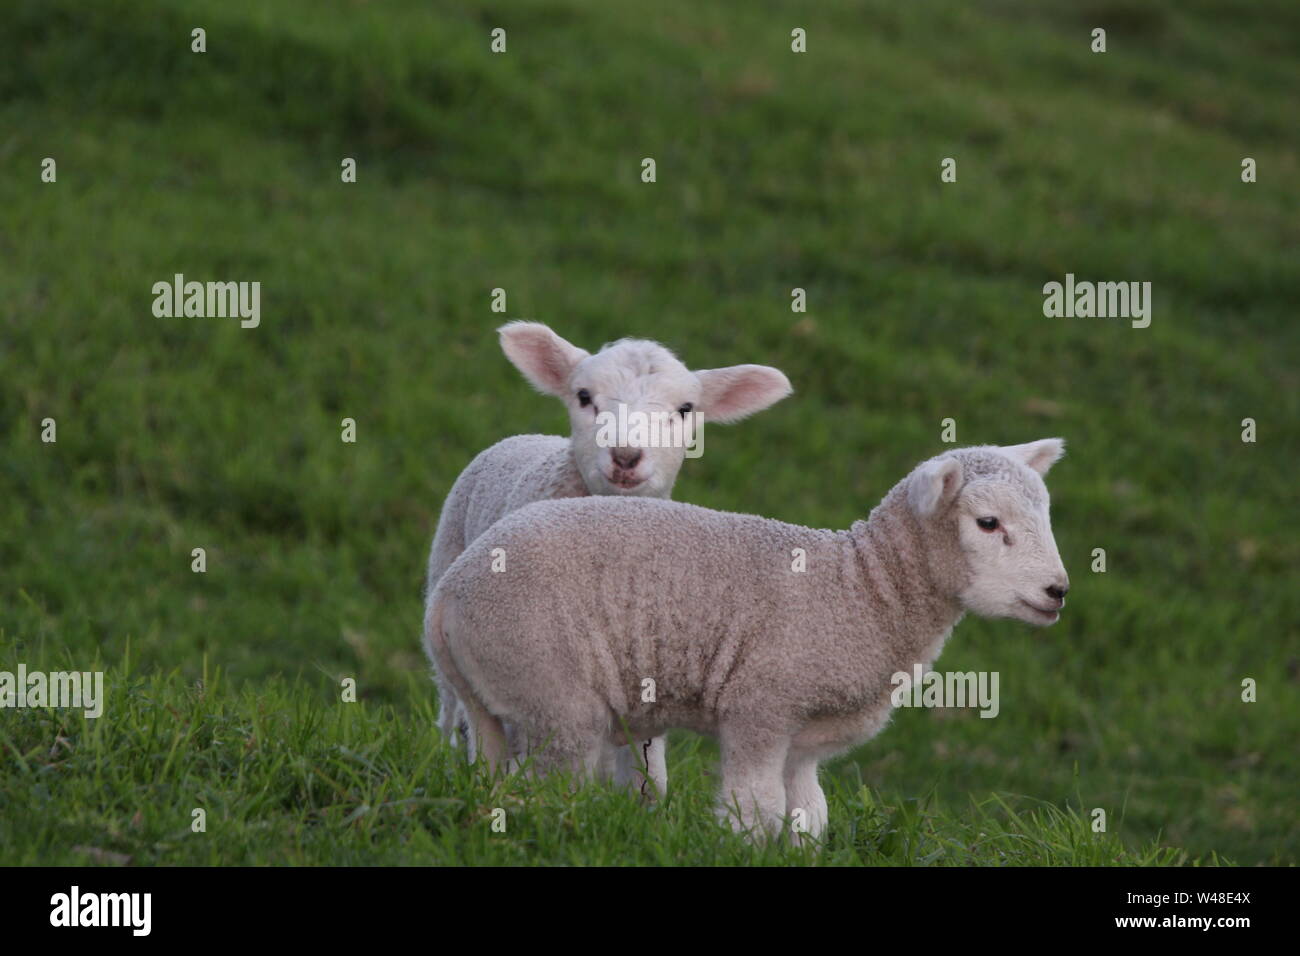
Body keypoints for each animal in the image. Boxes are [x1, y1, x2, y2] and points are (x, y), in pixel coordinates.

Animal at [425, 439, 1069, 842]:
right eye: (988, 523)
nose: (1058, 591)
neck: (860, 589)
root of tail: (445, 597)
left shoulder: (805, 741)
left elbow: (809, 816)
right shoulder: (760, 708)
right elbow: (754, 813)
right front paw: (741, 848)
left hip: (493, 693)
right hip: (549, 686)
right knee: (549, 789)